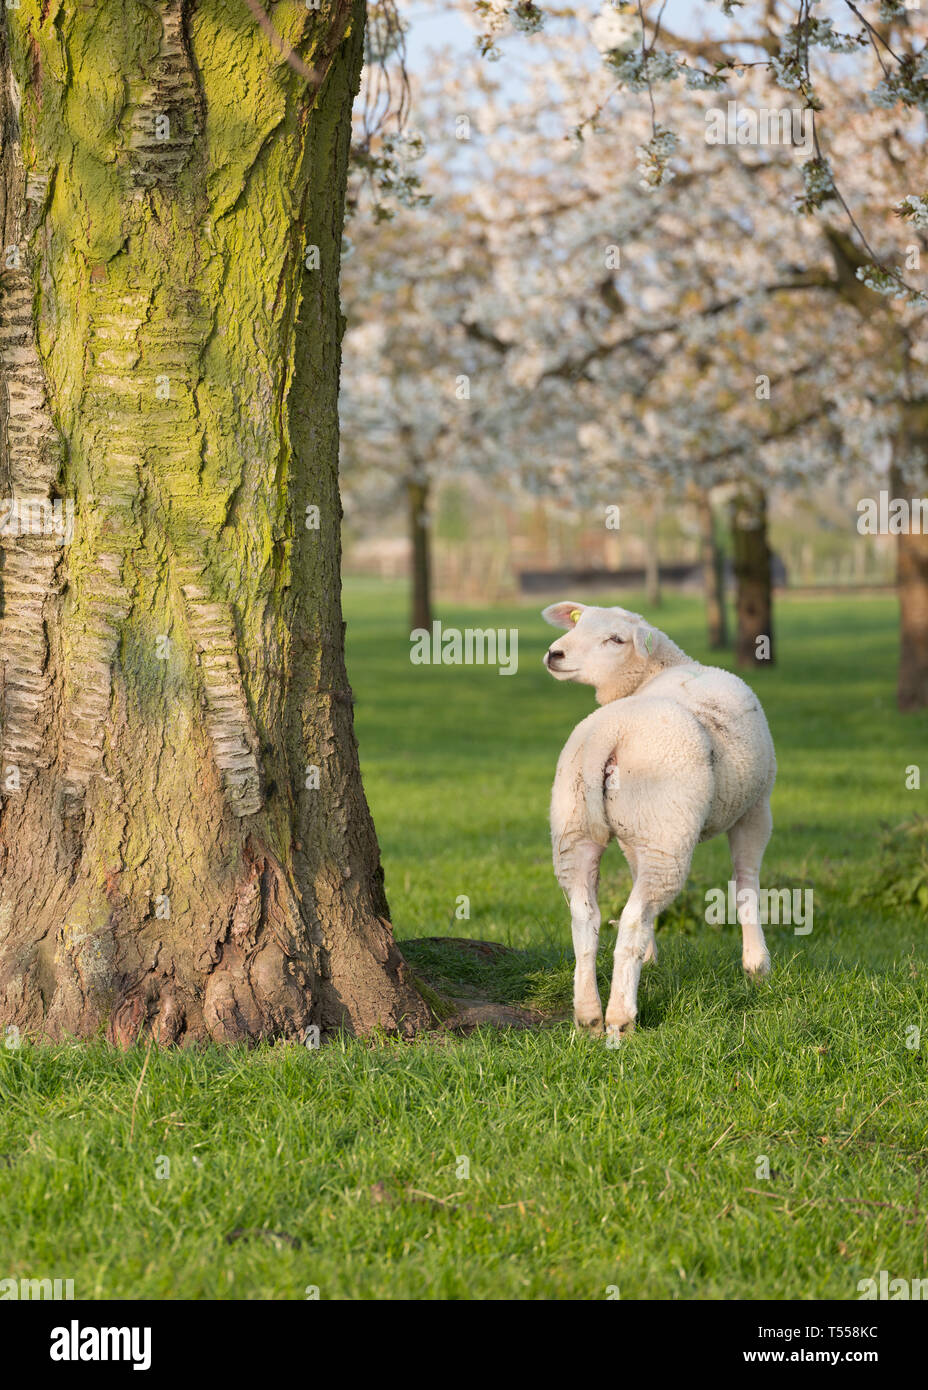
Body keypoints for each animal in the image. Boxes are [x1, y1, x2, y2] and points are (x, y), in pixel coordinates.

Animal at [543, 600, 776, 1042]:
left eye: (615, 639)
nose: (555, 654)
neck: (659, 671)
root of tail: (610, 731)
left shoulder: (634, 834)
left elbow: (636, 878)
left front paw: (651, 957)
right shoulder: (756, 809)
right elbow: (746, 883)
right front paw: (757, 965)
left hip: (578, 825)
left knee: (585, 916)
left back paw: (588, 1015)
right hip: (667, 829)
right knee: (633, 916)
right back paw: (620, 1018)